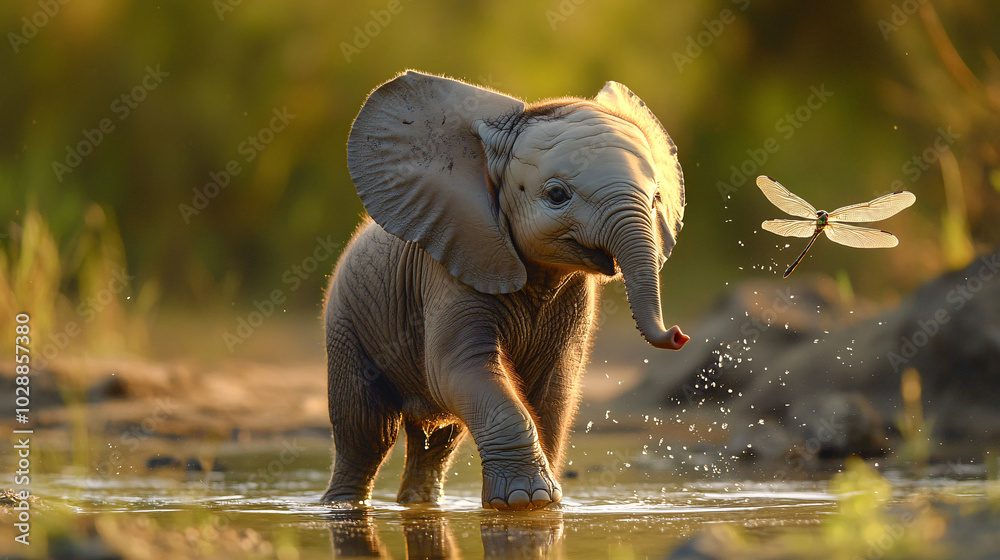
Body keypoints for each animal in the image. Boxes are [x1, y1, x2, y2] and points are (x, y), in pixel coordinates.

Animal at [321, 70, 689, 511]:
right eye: (557, 195)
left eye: (656, 199)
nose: (678, 335)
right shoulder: (452, 266)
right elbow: (458, 368)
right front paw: (524, 500)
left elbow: (554, 392)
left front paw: (545, 505)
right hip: (346, 320)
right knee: (367, 432)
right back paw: (342, 508)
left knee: (437, 442)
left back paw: (420, 505)